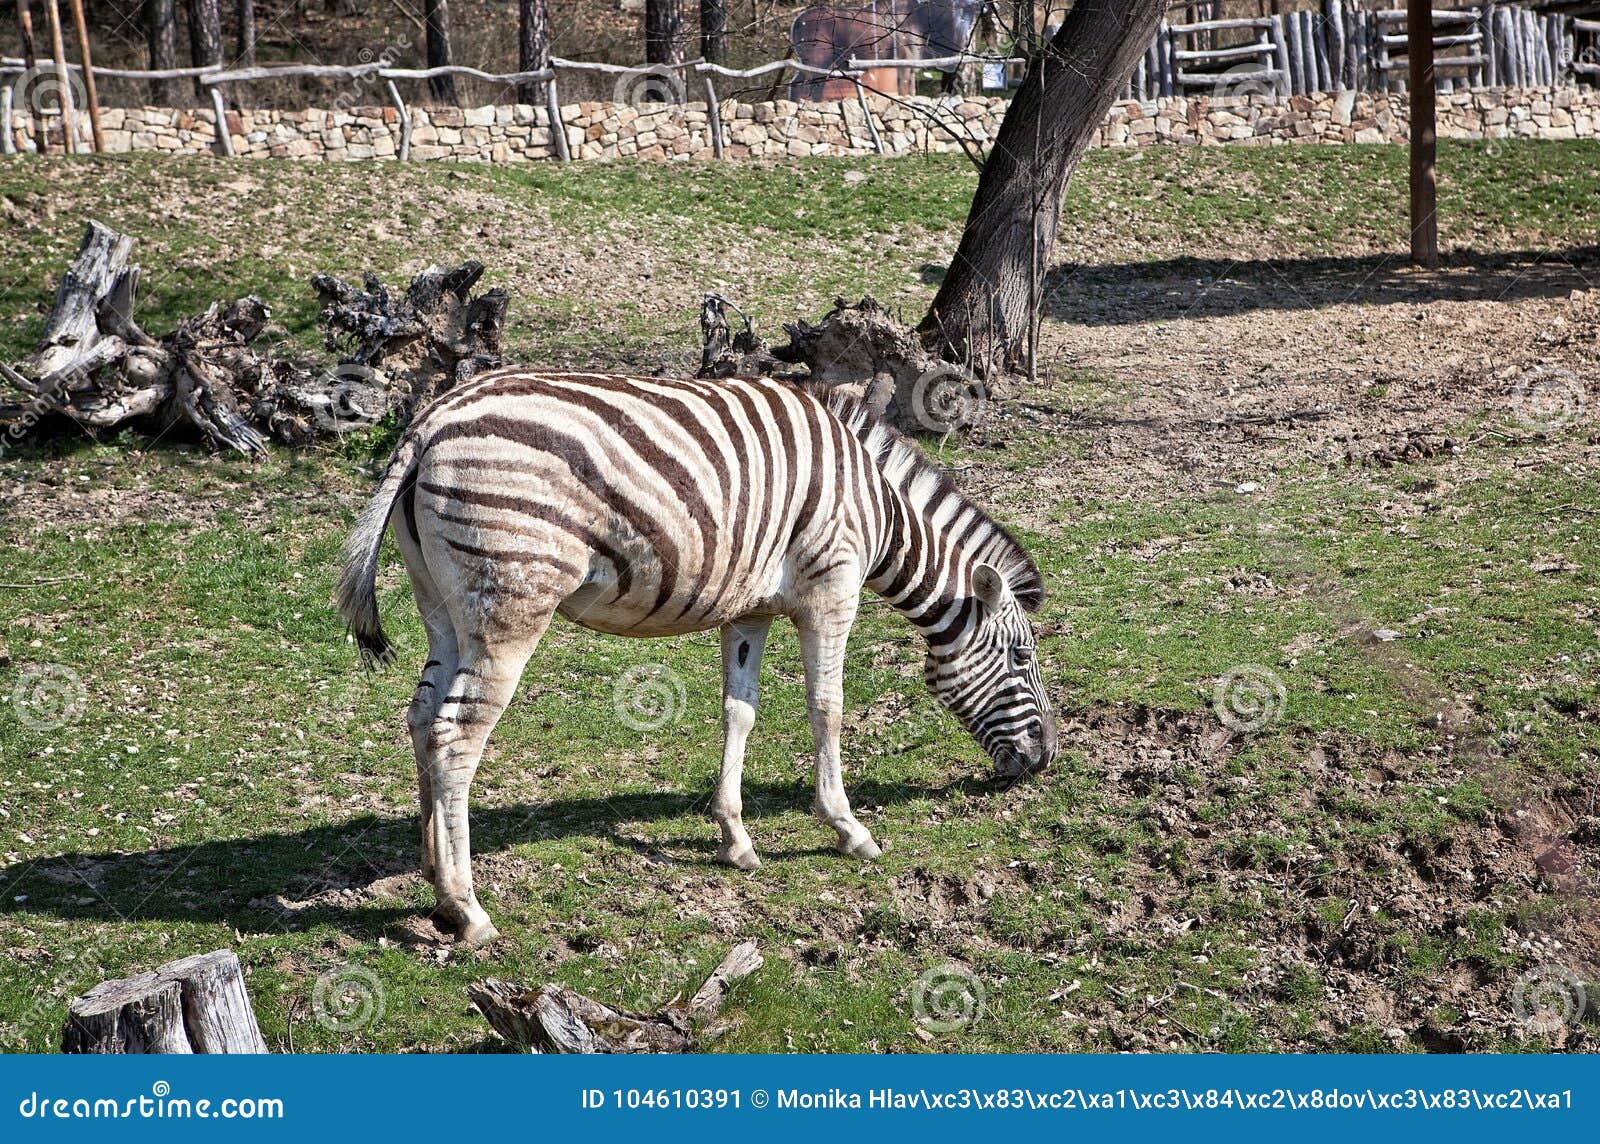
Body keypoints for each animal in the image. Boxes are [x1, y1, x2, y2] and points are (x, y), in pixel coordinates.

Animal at [338, 369, 1057, 946]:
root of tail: (431, 422)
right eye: (1023, 656)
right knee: (455, 734)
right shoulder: (832, 586)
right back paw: (468, 909)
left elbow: (740, 711)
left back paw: (433, 876)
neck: (876, 509)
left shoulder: (750, 609)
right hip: (510, 603)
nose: (1044, 759)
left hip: (442, 609)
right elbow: (826, 708)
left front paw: (735, 838)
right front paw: (848, 828)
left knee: (422, 717)